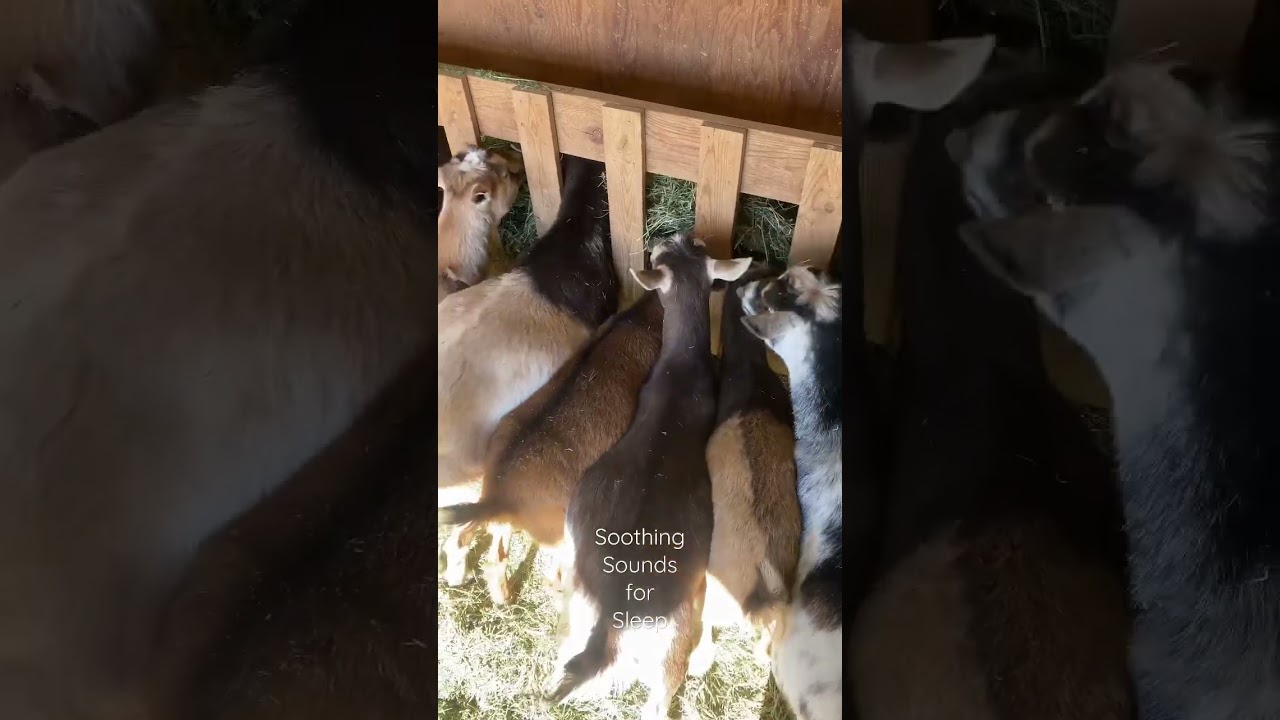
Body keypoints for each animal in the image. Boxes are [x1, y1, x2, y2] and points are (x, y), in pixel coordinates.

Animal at [438, 287, 663, 602]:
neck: (640, 318)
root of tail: (500, 496)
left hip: (500, 510)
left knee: (488, 549)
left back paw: (500, 594)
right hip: (560, 533)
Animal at [549, 233, 751, 720]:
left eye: (693, 244)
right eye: (664, 251)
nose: (670, 235)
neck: (681, 368)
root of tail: (612, 619)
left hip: (575, 606)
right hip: (668, 647)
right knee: (662, 694)